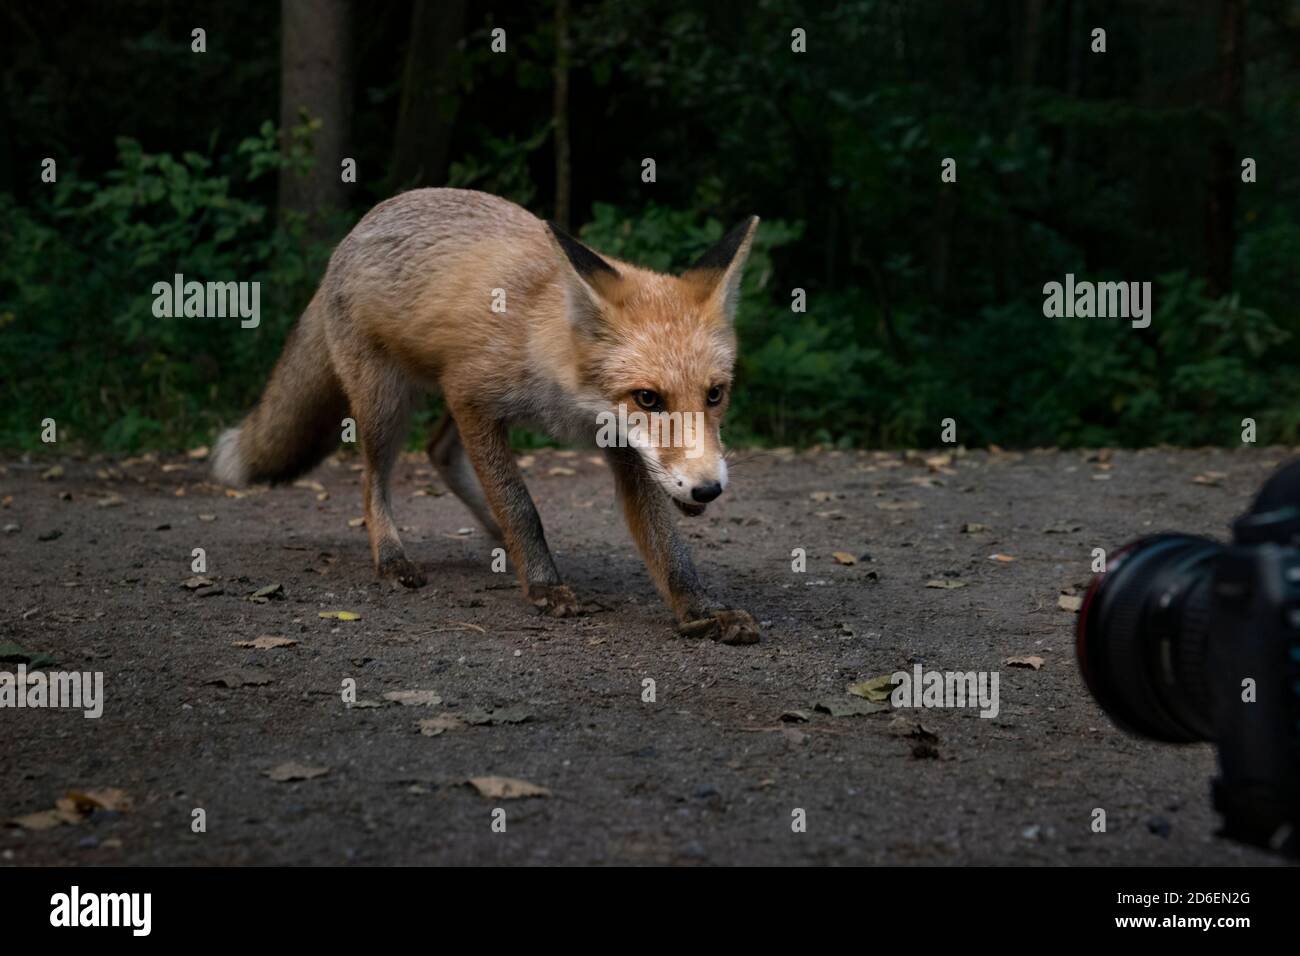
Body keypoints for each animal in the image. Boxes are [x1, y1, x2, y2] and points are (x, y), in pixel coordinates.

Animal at [212, 188, 760, 644]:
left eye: (715, 394)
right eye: (648, 399)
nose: (708, 489)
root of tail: (356, 230)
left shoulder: (622, 449)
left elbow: (667, 547)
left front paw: (700, 609)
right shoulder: (473, 396)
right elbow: (520, 505)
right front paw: (543, 585)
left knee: (438, 450)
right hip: (386, 404)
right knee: (373, 484)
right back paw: (392, 557)